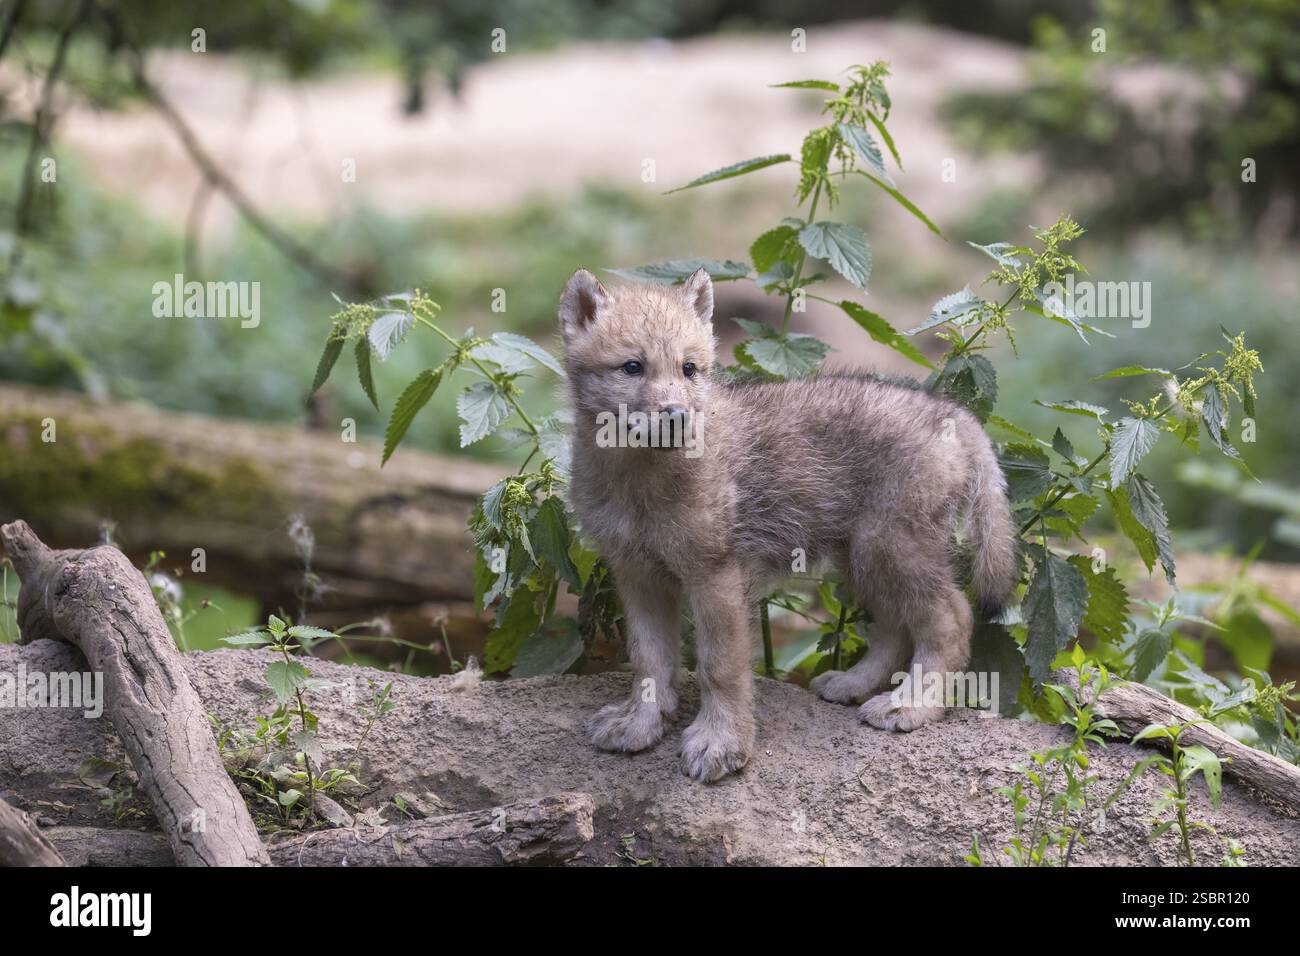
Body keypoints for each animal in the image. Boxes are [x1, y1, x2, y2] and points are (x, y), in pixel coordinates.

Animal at [559, 267, 1017, 783]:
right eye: (632, 367)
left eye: (689, 369)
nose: (677, 417)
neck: (638, 478)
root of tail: (957, 415)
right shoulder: (636, 574)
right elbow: (649, 661)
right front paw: (639, 724)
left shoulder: (715, 575)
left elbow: (720, 667)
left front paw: (721, 742)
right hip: (862, 557)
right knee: (896, 628)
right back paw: (854, 684)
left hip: (891, 548)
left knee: (951, 620)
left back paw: (910, 706)